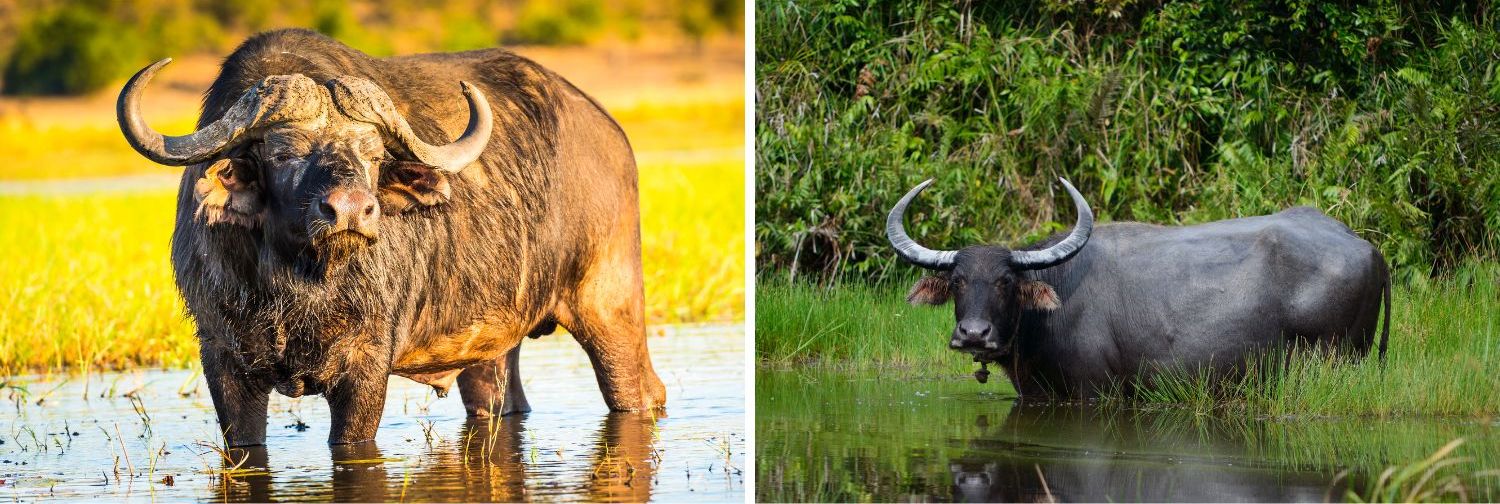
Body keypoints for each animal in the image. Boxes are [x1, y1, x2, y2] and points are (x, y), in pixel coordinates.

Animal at [116, 29, 665, 445]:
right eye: (283, 153)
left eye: (374, 155)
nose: (351, 210)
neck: (296, 284)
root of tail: (609, 131)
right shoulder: (225, 363)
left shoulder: (365, 367)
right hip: (491, 347)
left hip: (611, 309)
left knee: (641, 391)